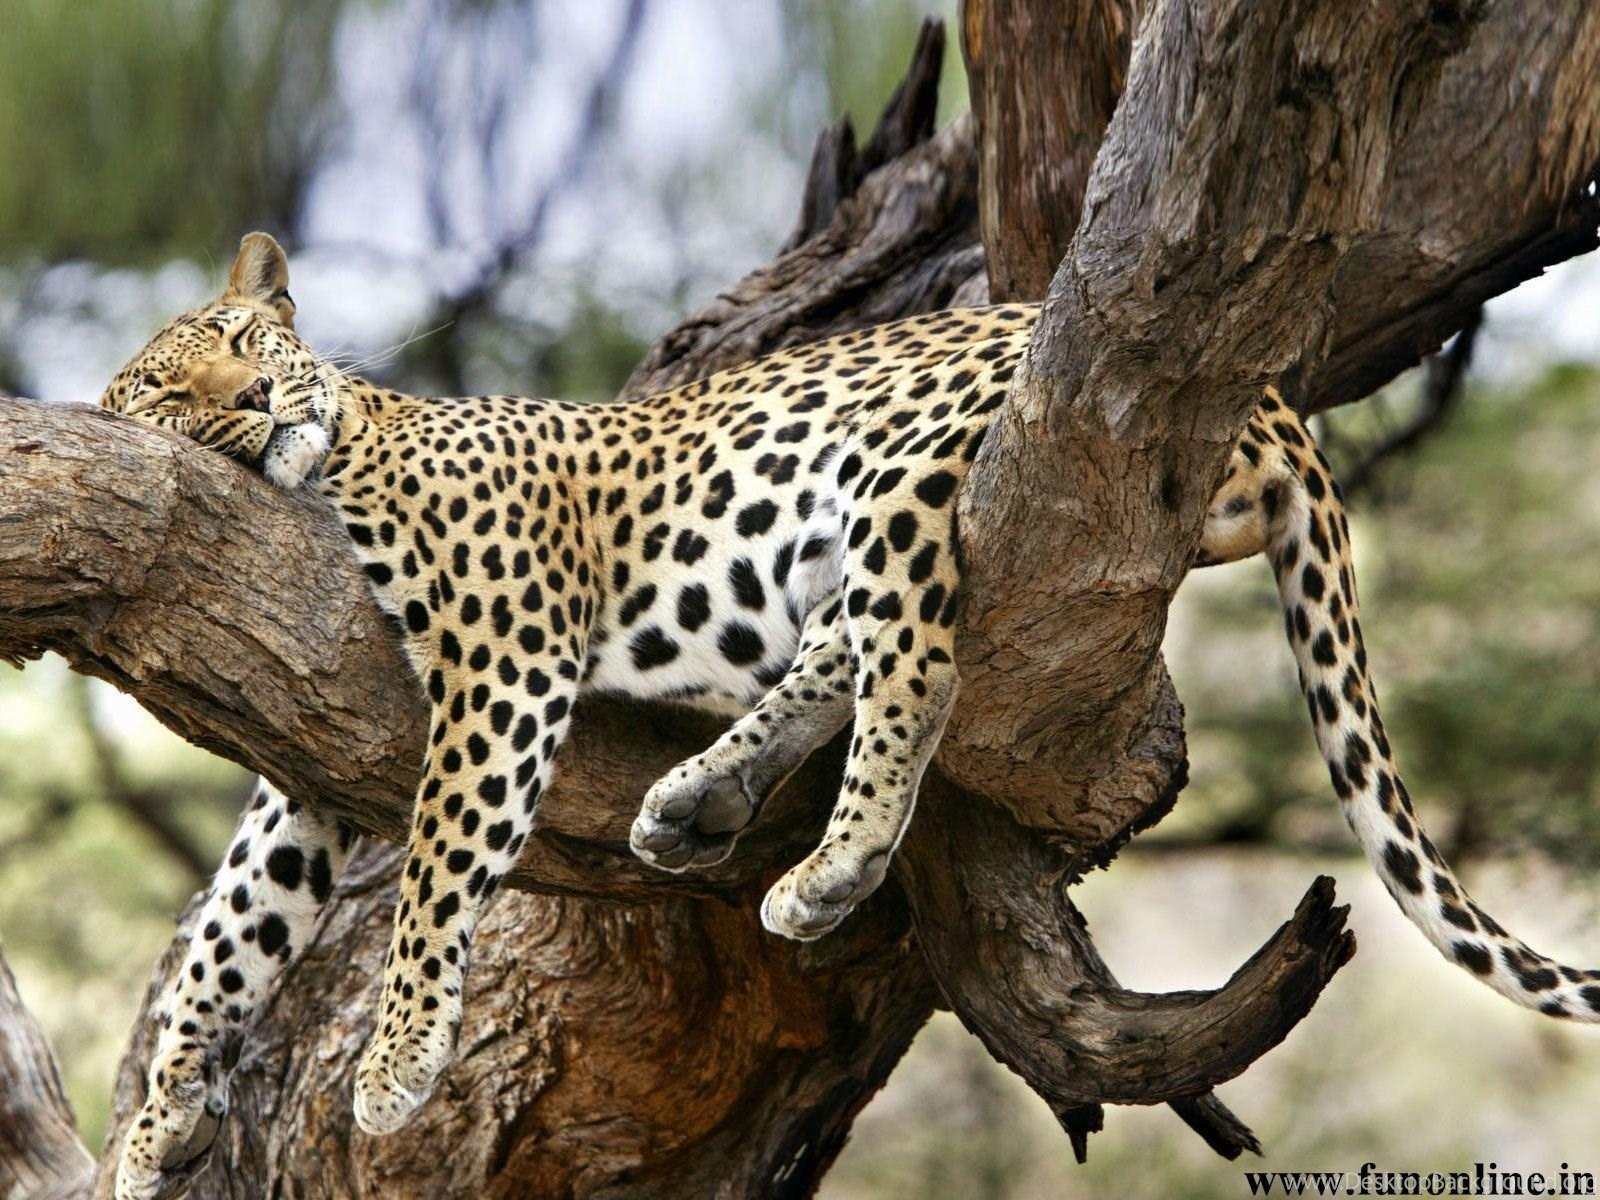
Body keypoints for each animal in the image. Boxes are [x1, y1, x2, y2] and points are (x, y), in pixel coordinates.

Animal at [99, 232, 1600, 1199]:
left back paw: (830, 866)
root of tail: (1281, 400)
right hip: (836, 539)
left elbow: (431, 874)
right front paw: (155, 1121)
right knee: (848, 646)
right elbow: (234, 925)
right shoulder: (306, 756)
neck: (331, 468)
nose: (257, 396)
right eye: (174, 388)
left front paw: (397, 1062)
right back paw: (699, 799)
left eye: (246, 342)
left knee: (917, 667)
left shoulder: (504, 656)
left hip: (901, 464)